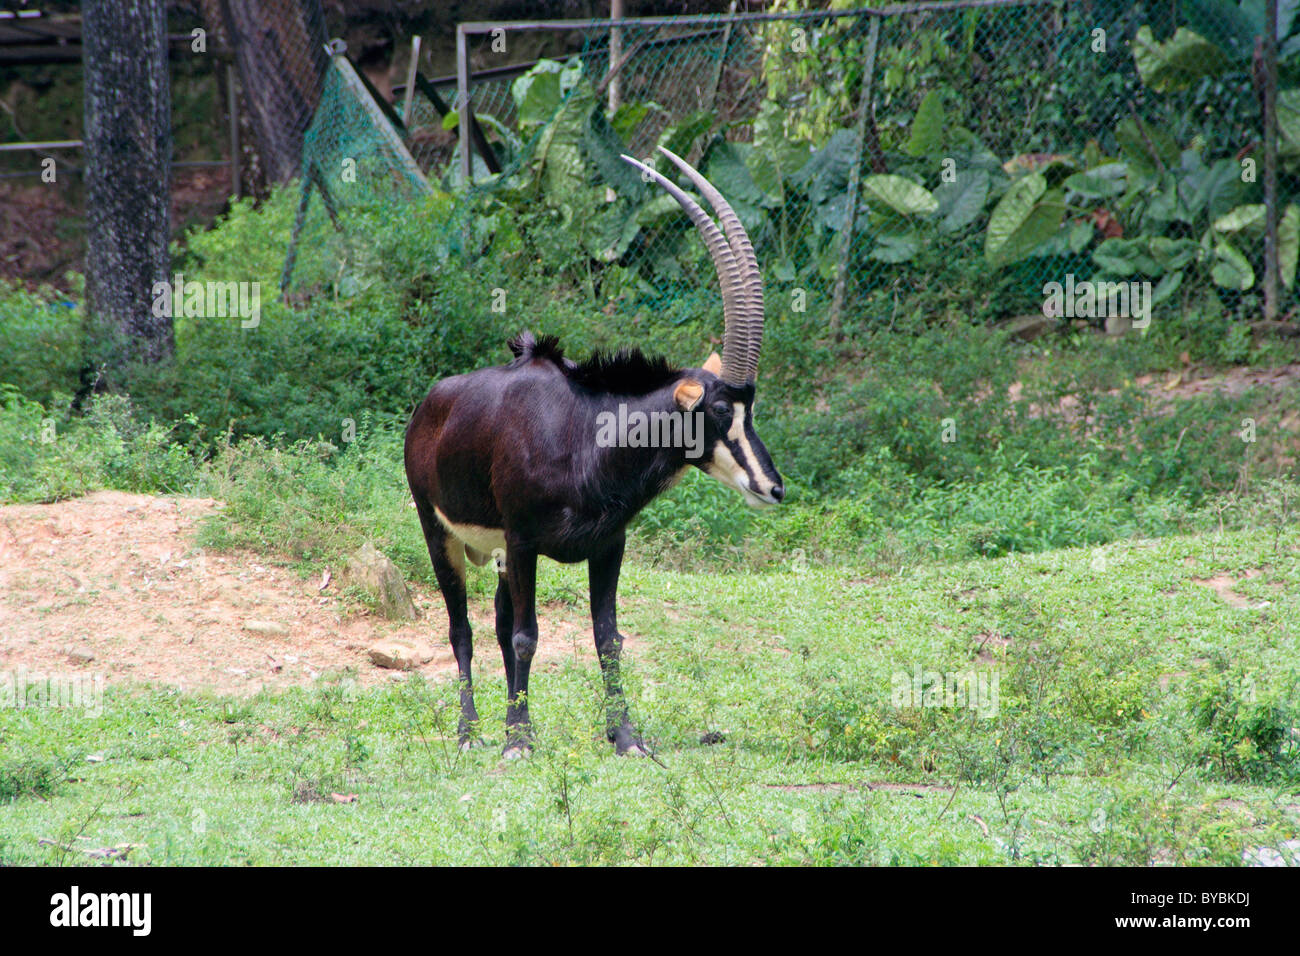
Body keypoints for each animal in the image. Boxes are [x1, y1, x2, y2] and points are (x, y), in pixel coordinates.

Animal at [404, 147, 783, 757]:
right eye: (722, 410)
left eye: (753, 408)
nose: (774, 487)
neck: (586, 440)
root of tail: (426, 410)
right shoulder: (524, 540)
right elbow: (527, 636)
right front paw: (519, 743)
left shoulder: (609, 545)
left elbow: (607, 638)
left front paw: (625, 738)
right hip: (441, 534)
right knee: (463, 630)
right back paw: (471, 733)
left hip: (501, 555)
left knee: (496, 624)